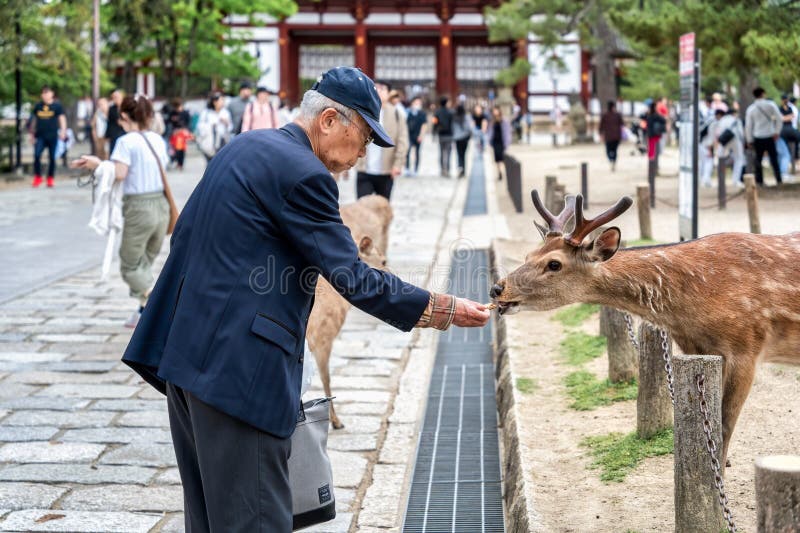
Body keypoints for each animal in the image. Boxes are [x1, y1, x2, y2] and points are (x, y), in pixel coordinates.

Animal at [490, 190, 800, 468]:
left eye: (554, 263)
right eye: (528, 254)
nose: (497, 288)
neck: (691, 310)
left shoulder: (747, 347)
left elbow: (723, 426)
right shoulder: (699, 348)